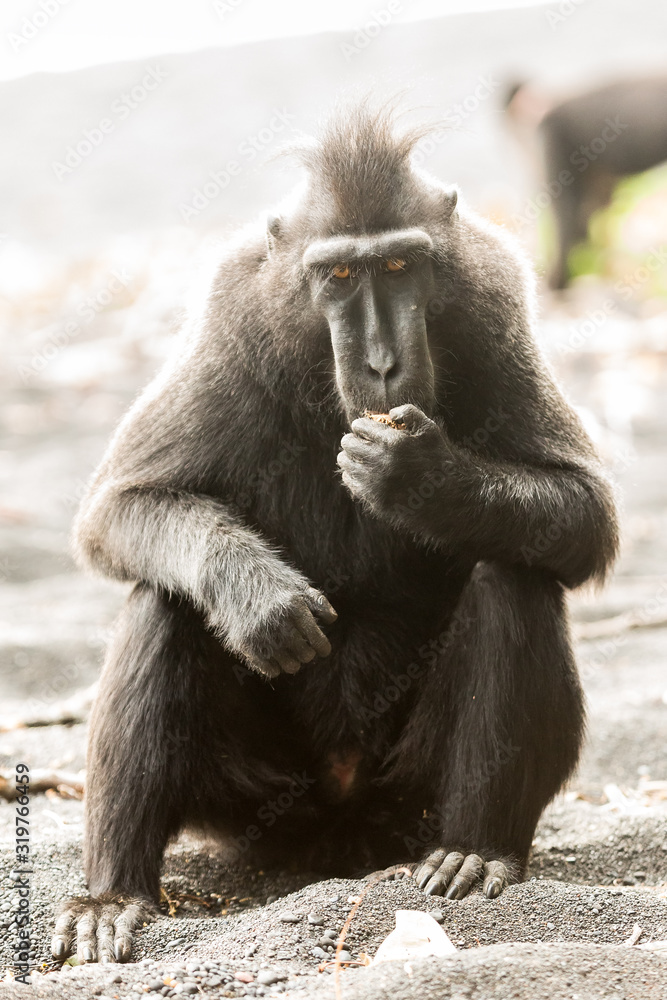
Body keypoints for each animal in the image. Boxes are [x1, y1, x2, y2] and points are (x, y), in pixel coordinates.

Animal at [51, 104, 618, 964]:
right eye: (341, 277)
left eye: (399, 267)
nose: (382, 365)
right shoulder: (232, 315)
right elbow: (120, 507)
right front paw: (258, 594)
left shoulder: (493, 302)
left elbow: (586, 516)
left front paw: (421, 481)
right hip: (256, 800)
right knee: (164, 599)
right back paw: (115, 895)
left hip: (407, 792)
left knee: (514, 573)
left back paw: (475, 849)